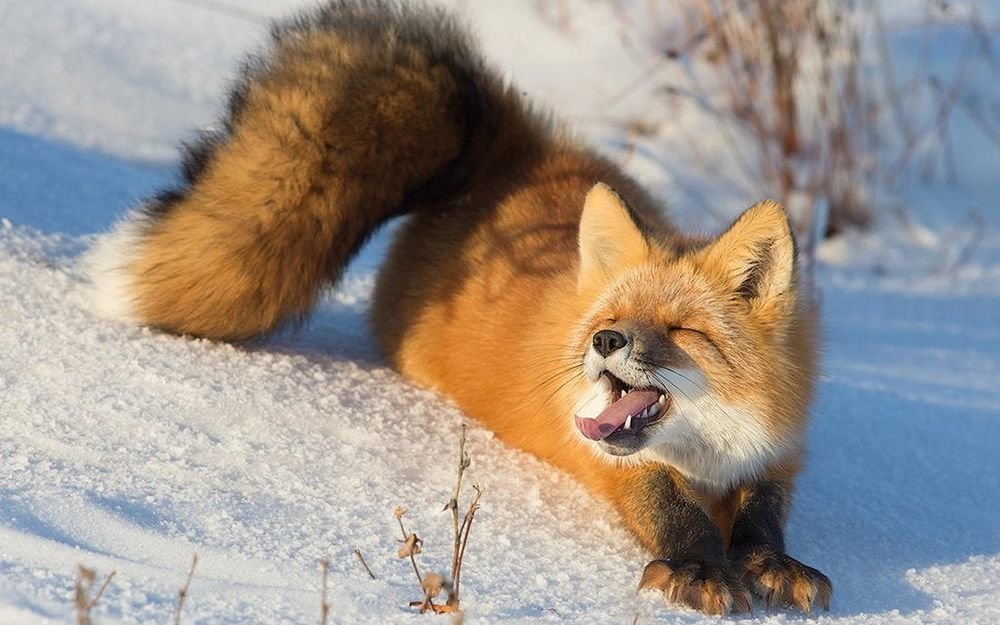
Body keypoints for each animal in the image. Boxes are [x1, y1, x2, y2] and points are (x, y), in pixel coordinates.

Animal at [83, 0, 831, 616]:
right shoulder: (603, 455)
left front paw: (771, 563)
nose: (606, 343)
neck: (710, 449)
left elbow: (763, 517)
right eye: (605, 322)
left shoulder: (778, 455)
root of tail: (516, 151)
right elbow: (671, 508)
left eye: (681, 328)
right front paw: (697, 566)